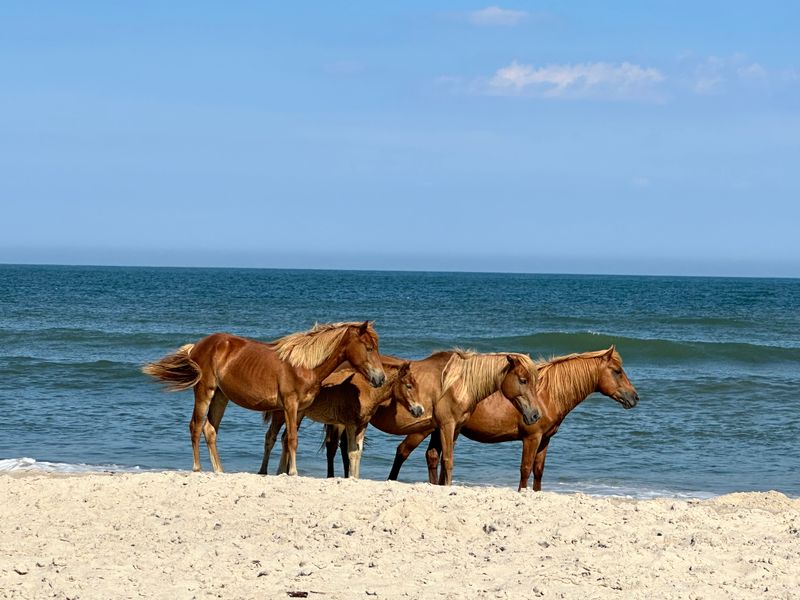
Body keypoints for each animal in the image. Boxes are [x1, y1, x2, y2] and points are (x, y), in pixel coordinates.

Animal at [142, 321, 386, 475]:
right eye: (368, 347)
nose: (380, 378)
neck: (303, 365)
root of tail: (197, 346)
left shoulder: (300, 411)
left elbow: (287, 440)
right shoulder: (289, 405)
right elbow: (292, 439)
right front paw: (293, 472)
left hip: (220, 397)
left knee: (210, 430)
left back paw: (219, 470)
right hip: (205, 391)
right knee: (195, 426)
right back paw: (197, 468)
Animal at [259, 357, 423, 479]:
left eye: (416, 385)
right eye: (408, 386)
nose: (419, 410)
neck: (365, 390)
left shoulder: (363, 424)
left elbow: (358, 452)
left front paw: (355, 478)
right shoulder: (351, 424)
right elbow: (352, 452)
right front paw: (351, 478)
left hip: (297, 415)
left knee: (285, 438)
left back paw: (282, 471)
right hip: (282, 414)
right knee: (272, 437)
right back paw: (265, 471)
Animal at [318, 349, 541, 485]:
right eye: (523, 380)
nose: (535, 414)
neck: (458, 384)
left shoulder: (452, 428)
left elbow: (440, 459)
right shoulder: (447, 426)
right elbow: (448, 460)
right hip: (340, 422)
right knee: (333, 447)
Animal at [422, 346, 639, 490]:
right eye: (617, 371)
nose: (635, 397)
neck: (547, 394)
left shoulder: (545, 439)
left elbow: (538, 470)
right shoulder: (531, 438)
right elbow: (525, 469)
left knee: (432, 457)